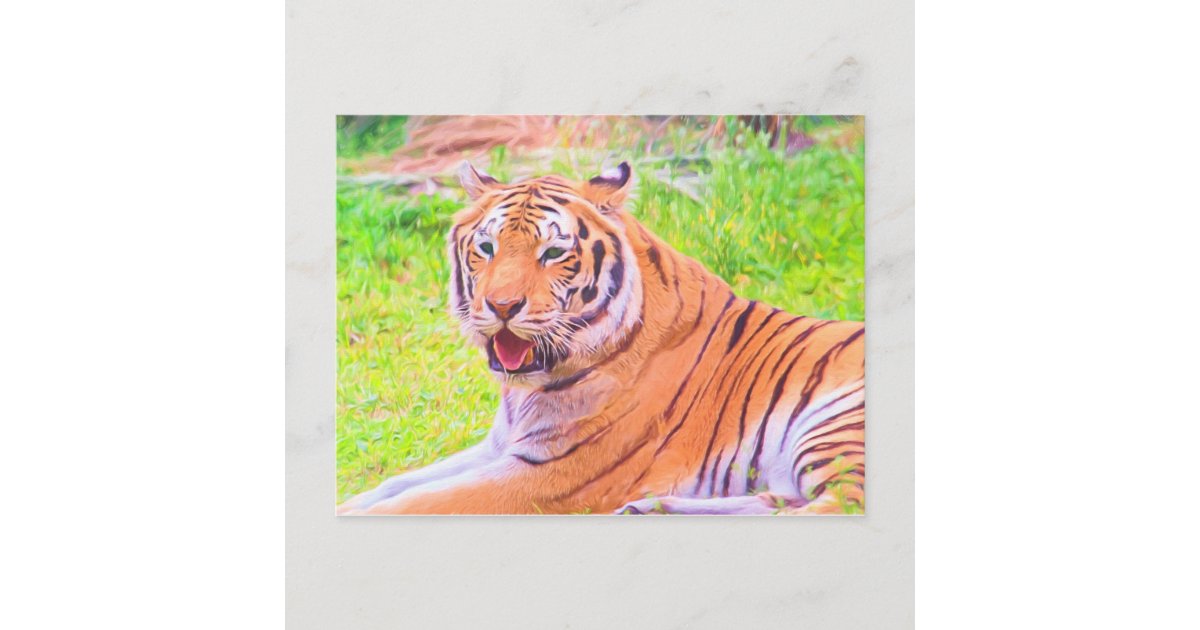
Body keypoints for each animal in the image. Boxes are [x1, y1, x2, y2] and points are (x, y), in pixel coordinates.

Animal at [337, 160, 865, 515]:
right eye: (486, 247)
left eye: (553, 253)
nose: (502, 307)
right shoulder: (500, 447)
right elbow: (393, 485)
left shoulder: (550, 473)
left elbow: (414, 502)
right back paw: (650, 510)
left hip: (837, 424)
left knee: (838, 505)